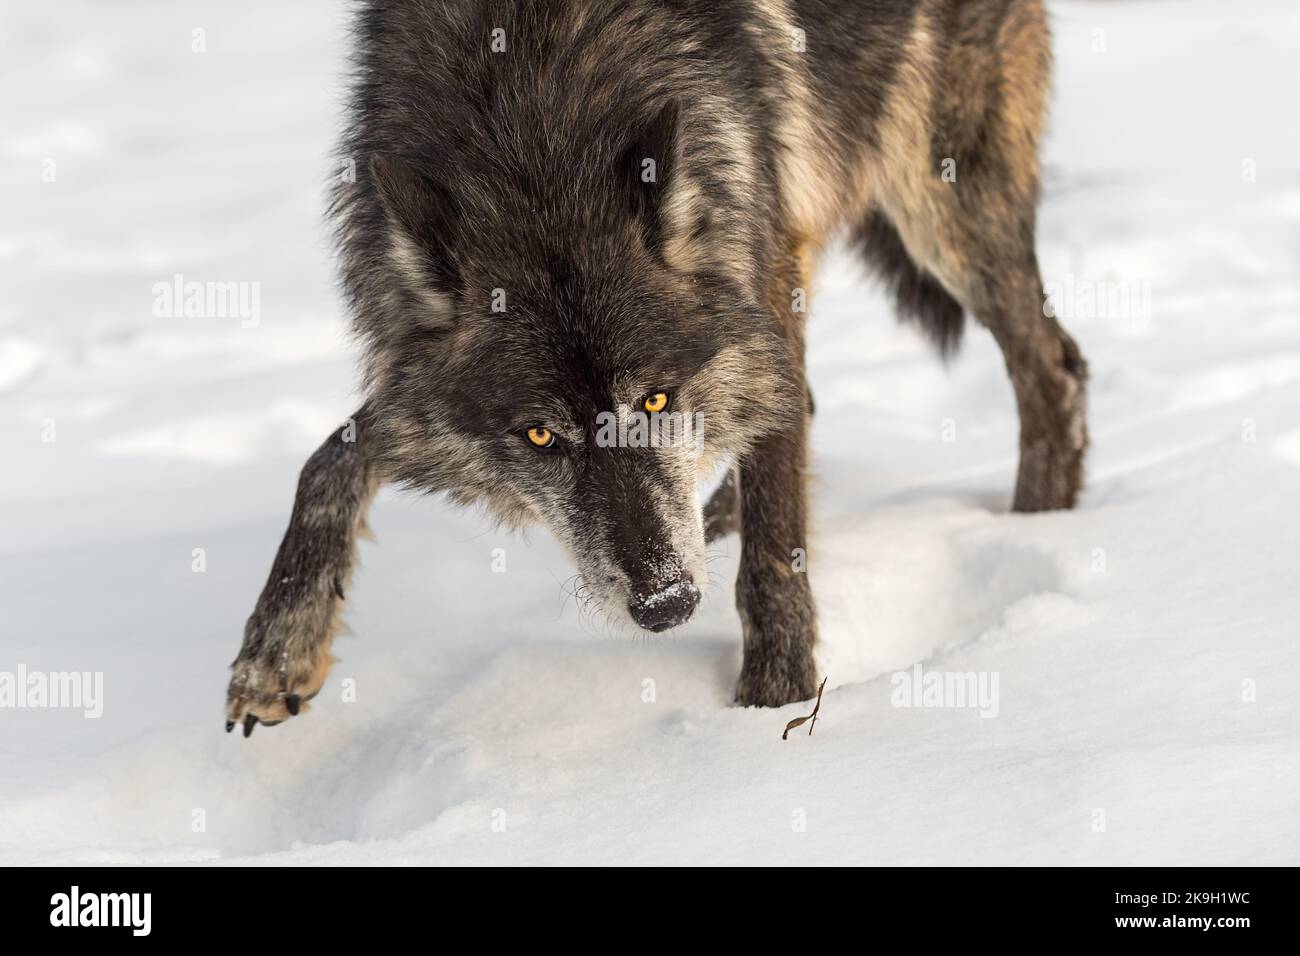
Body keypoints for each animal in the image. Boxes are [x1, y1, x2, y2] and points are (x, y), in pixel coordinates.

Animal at [225, 0, 1087, 735]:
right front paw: (276, 651)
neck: (534, 124)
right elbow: (332, 456)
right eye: (540, 437)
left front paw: (771, 707)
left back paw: (1041, 525)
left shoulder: (761, 289)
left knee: (1054, 366)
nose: (666, 603)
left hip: (942, 207)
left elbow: (775, 552)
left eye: (656, 401)